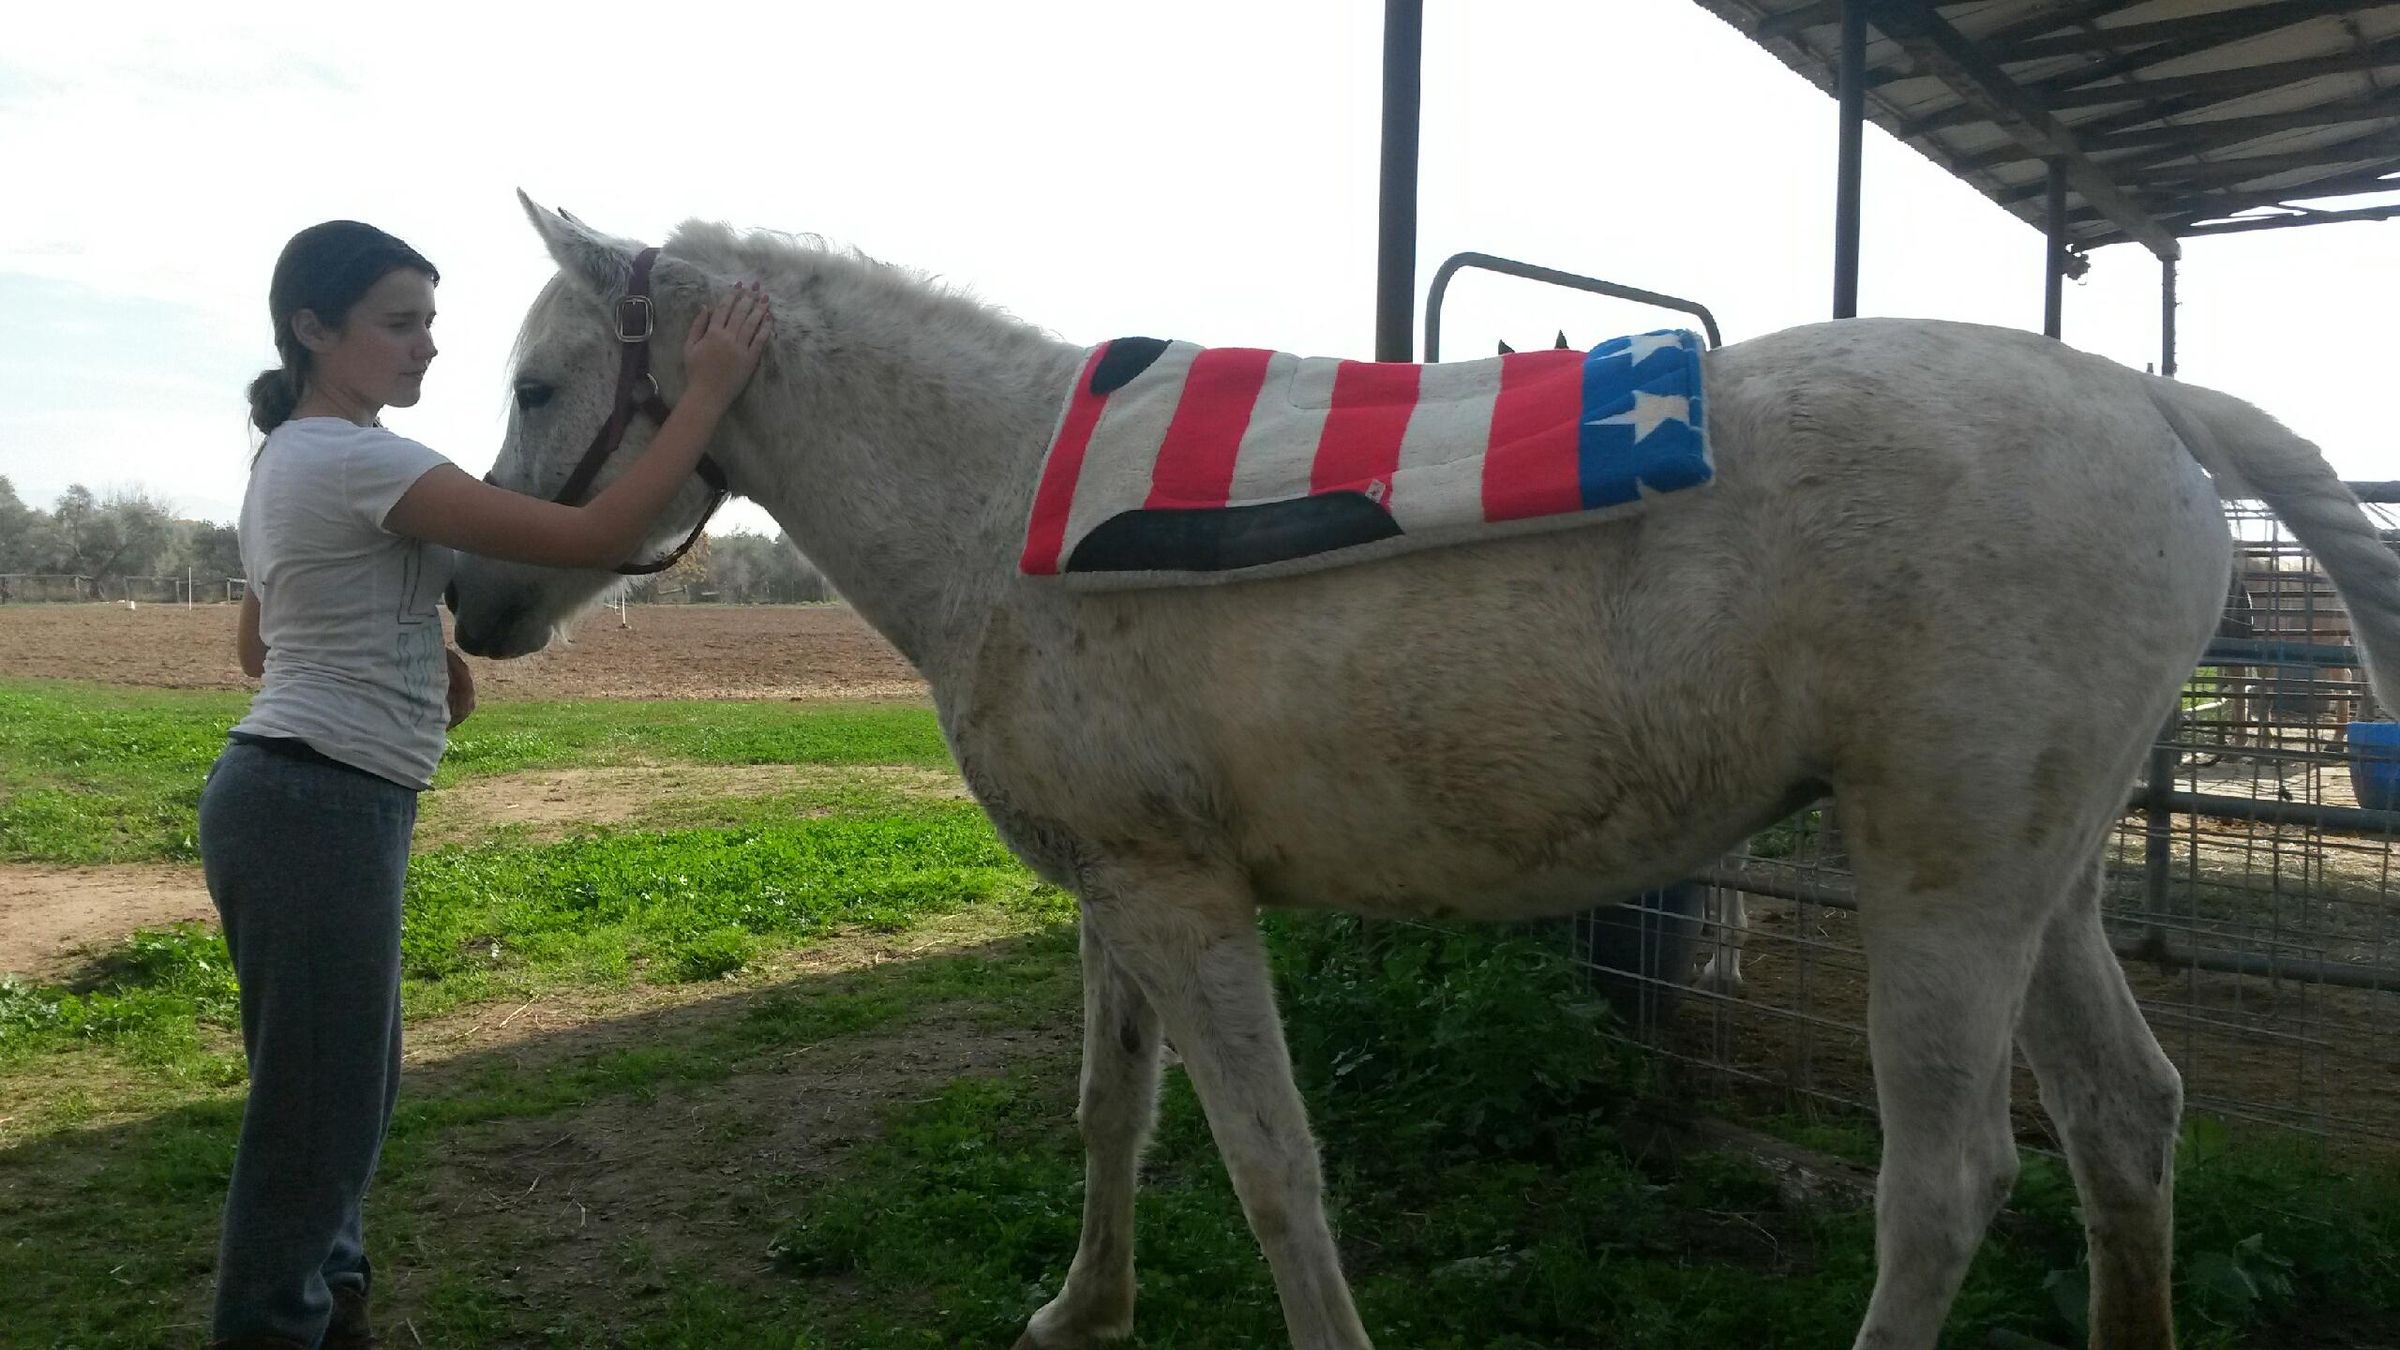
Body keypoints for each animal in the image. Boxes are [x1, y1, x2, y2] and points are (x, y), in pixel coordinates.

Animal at [449, 194, 2400, 1350]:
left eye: (543, 383)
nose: (473, 597)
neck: (1001, 506)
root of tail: (2152, 403)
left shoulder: (1185, 900)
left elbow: (1268, 1163)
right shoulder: (1119, 892)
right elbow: (1111, 1116)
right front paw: (1084, 1309)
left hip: (1945, 879)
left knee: (1948, 1186)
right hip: (2039, 877)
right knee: (2124, 1121)